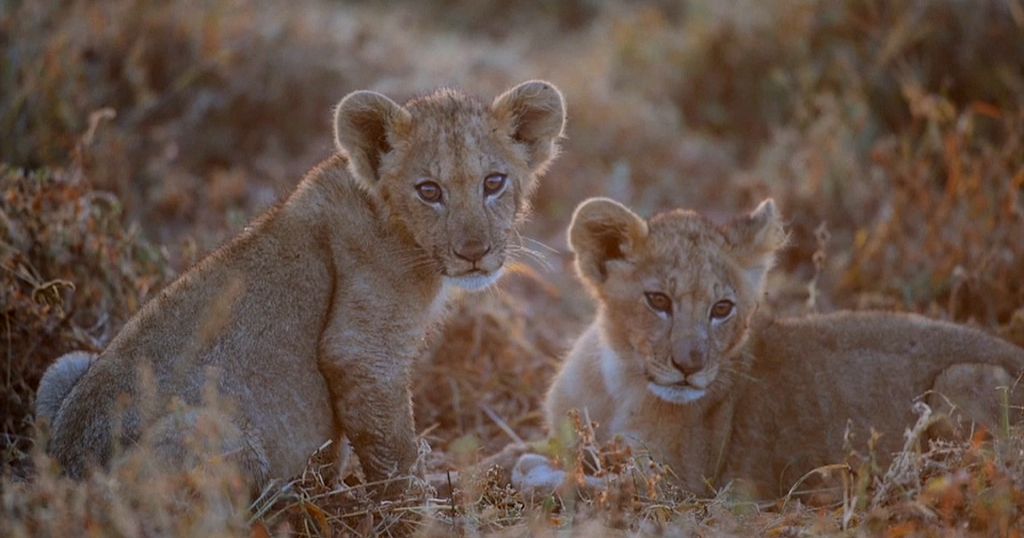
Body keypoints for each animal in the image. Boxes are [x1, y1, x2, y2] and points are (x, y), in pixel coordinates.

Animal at [36, 80, 566, 490]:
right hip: (217, 431)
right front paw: (424, 509)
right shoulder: (361, 353)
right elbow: (395, 454)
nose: (474, 251)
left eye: (494, 182)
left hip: (66, 367)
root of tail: (68, 474)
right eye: (429, 191)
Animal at [535, 197, 1024, 499]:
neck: (617, 381)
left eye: (722, 308)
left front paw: (542, 479)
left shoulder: (675, 481)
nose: (690, 365)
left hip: (960, 379)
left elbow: (592, 482)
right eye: (658, 300)